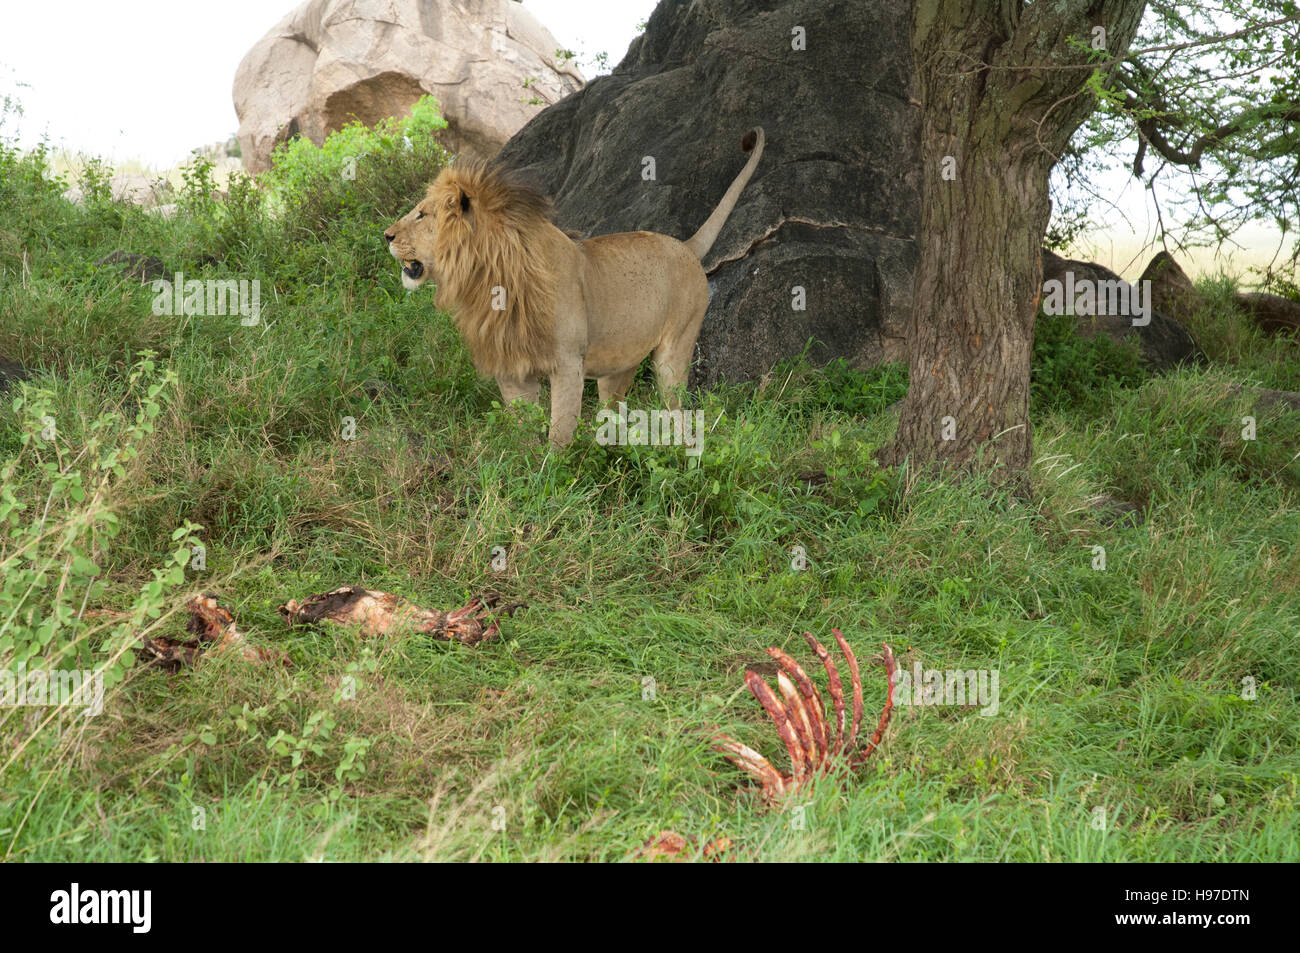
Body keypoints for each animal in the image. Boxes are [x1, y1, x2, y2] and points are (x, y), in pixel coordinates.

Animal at [384, 127, 765, 446]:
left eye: (421, 214)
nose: (386, 235)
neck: (487, 275)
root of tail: (685, 246)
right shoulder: (512, 366)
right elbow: (523, 428)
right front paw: (522, 472)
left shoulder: (568, 364)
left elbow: (559, 432)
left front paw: (552, 478)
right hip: (619, 365)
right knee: (614, 411)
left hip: (674, 356)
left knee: (680, 411)